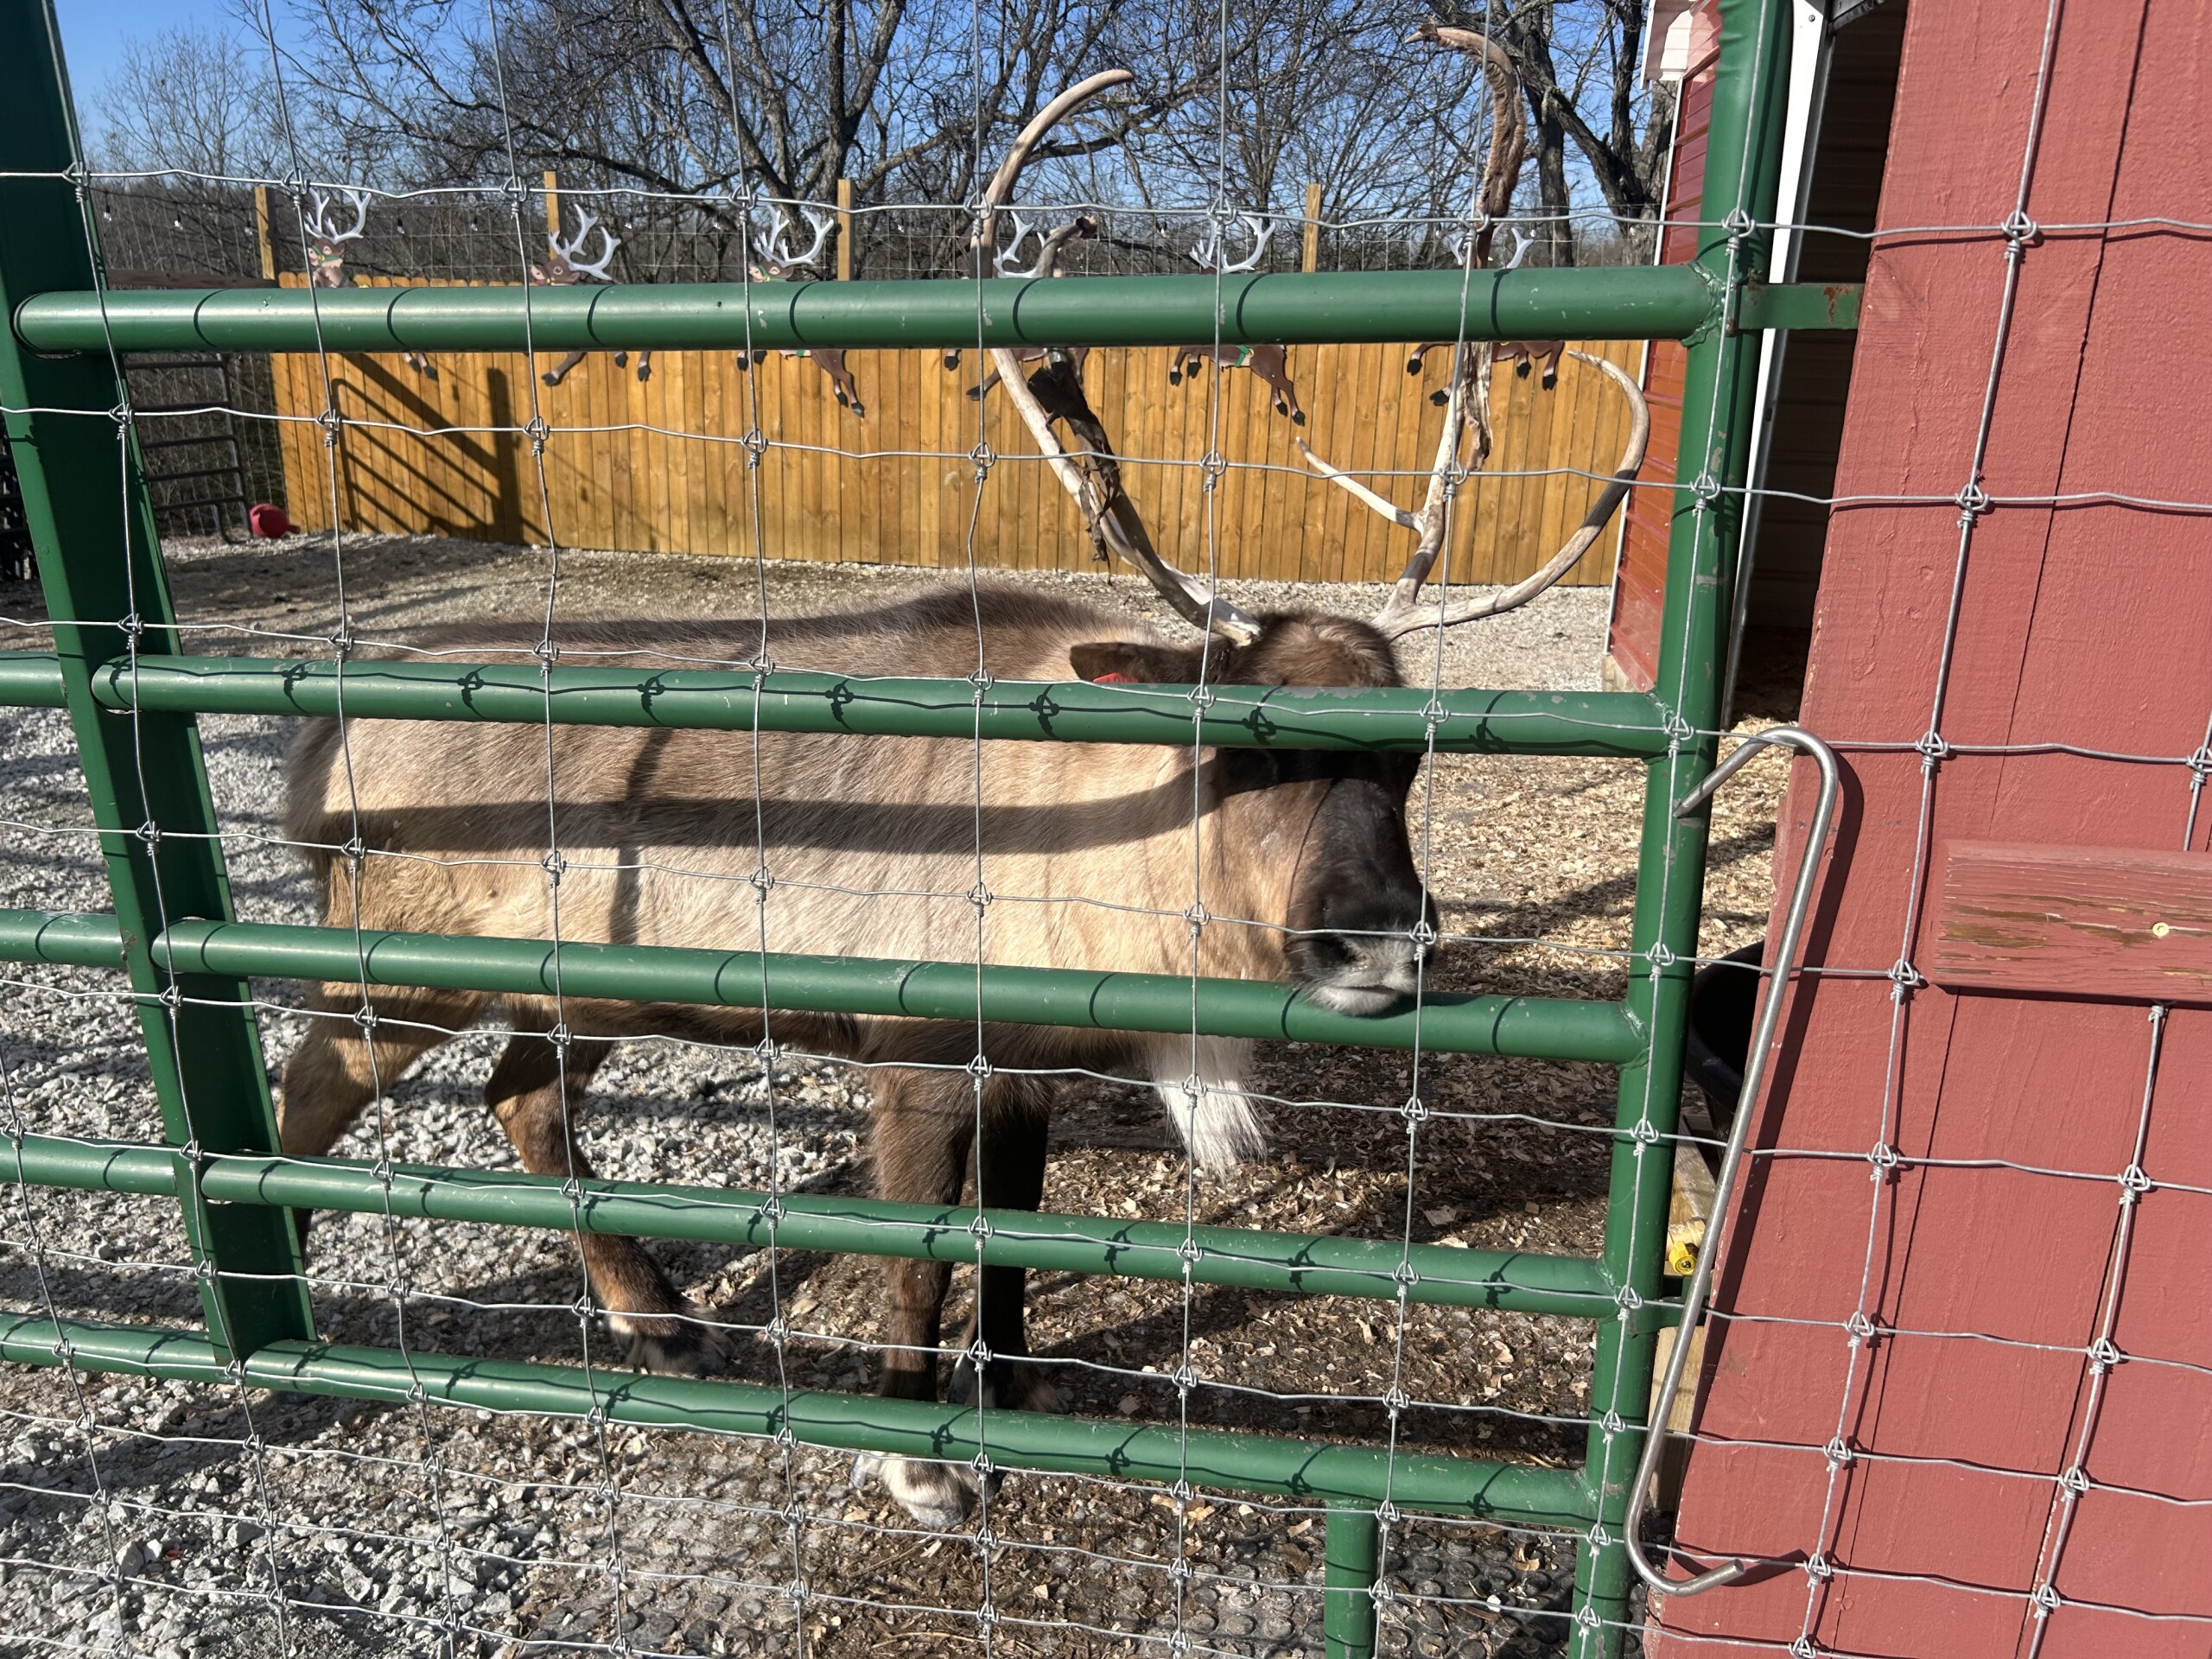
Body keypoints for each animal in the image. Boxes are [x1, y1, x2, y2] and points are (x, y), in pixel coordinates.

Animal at [732, 204, 866, 417]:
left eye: (774, 269)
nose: (752, 269)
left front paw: (747, 360)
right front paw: (745, 360)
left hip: (828, 355)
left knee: (847, 375)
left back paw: (856, 406)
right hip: (820, 357)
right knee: (836, 376)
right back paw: (841, 398)